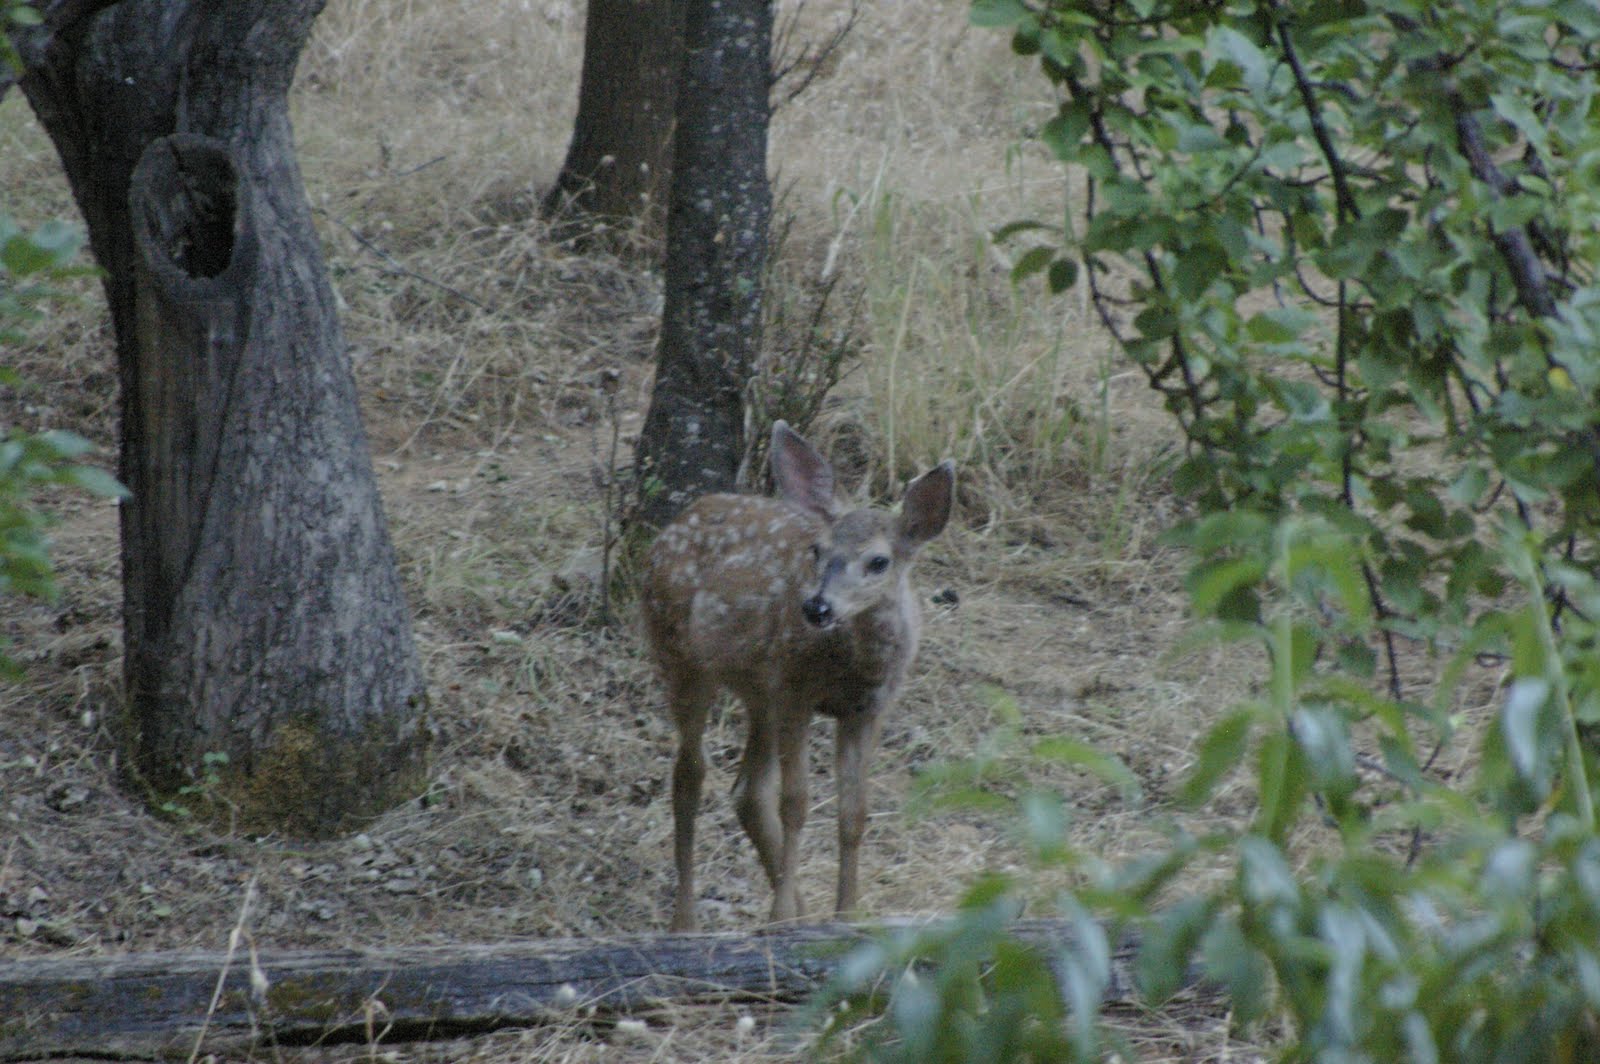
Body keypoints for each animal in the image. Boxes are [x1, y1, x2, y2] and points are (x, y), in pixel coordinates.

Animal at [641, 420, 954, 931]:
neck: (853, 667)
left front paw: (847, 913)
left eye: (879, 561)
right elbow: (796, 804)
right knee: (689, 776)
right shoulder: (795, 690)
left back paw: (801, 912)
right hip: (683, 658)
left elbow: (853, 813)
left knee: (747, 791)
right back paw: (686, 923)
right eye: (817, 550)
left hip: (758, 691)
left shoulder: (868, 709)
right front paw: (782, 913)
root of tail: (674, 524)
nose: (817, 607)